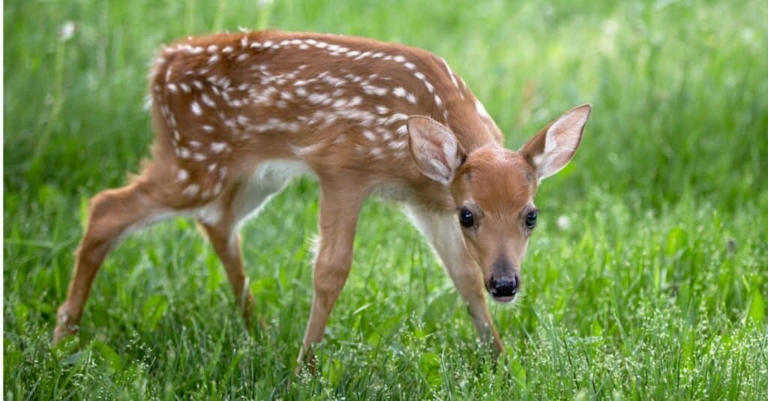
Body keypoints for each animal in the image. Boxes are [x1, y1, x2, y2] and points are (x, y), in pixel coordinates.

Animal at [52, 30, 591, 371]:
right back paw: (62, 338)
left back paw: (258, 331)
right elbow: (331, 270)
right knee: (106, 207)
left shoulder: (426, 200)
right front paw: (304, 368)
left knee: (218, 223)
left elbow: (462, 280)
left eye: (531, 216)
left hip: (250, 174)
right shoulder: (343, 166)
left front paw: (501, 363)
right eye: (470, 215)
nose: (506, 283)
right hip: (193, 162)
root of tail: (160, 65)